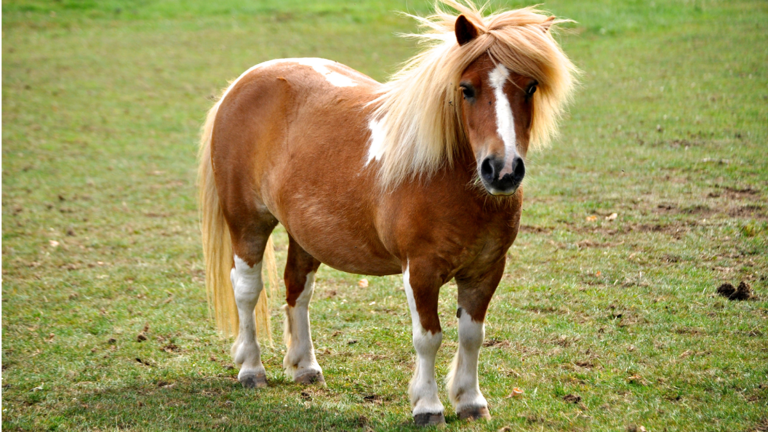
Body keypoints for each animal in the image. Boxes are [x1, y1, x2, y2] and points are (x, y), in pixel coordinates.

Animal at [198, 0, 576, 426]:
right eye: (467, 89)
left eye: (530, 87)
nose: (503, 170)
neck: (445, 177)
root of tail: (241, 83)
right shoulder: (421, 271)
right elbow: (429, 338)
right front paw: (428, 406)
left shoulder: (486, 271)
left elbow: (471, 336)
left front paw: (470, 402)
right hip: (247, 223)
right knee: (247, 290)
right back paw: (251, 370)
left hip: (304, 234)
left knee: (298, 288)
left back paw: (305, 367)